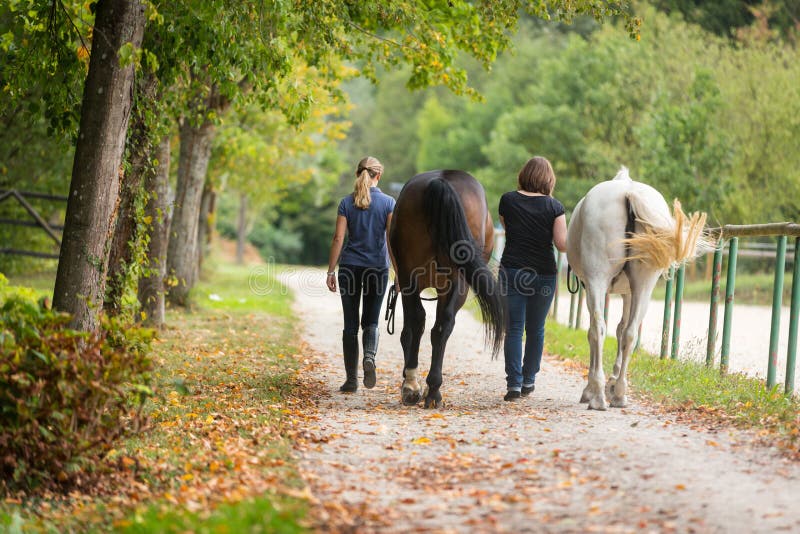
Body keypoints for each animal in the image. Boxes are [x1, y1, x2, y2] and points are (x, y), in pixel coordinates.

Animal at [389, 170, 505, 408]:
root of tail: (441, 180)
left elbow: (409, 332)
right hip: (453, 282)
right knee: (440, 325)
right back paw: (429, 389)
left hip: (415, 278)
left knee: (427, 323)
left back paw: (420, 387)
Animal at [566, 167, 708, 410]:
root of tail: (628, 193)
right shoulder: (628, 293)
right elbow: (622, 330)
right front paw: (612, 381)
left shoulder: (599, 288)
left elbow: (597, 331)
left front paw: (592, 388)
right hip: (644, 285)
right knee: (630, 333)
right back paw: (619, 394)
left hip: (597, 279)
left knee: (598, 329)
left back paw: (598, 396)